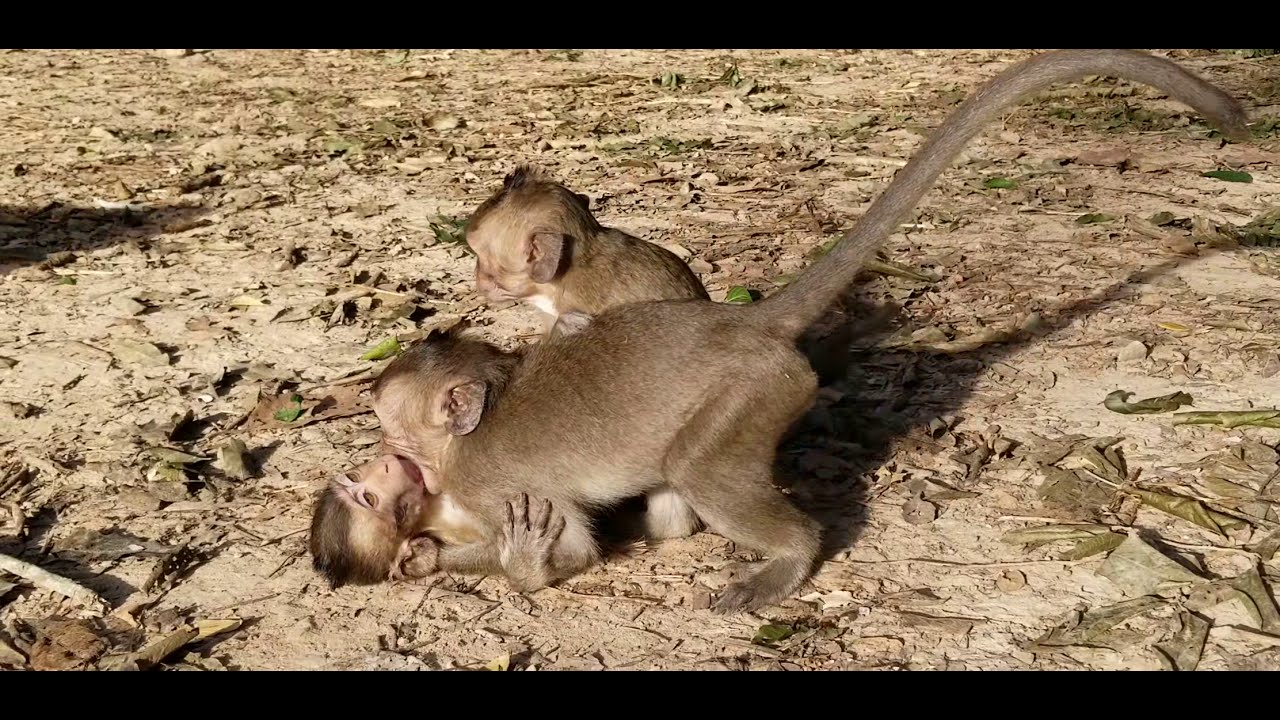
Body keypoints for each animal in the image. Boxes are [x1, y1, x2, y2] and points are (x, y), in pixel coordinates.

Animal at [311, 50, 1250, 613]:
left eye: (392, 434)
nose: (382, 458)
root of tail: (738, 321)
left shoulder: (490, 479)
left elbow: (567, 547)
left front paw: (532, 565)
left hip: (753, 397)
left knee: (704, 471)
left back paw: (788, 557)